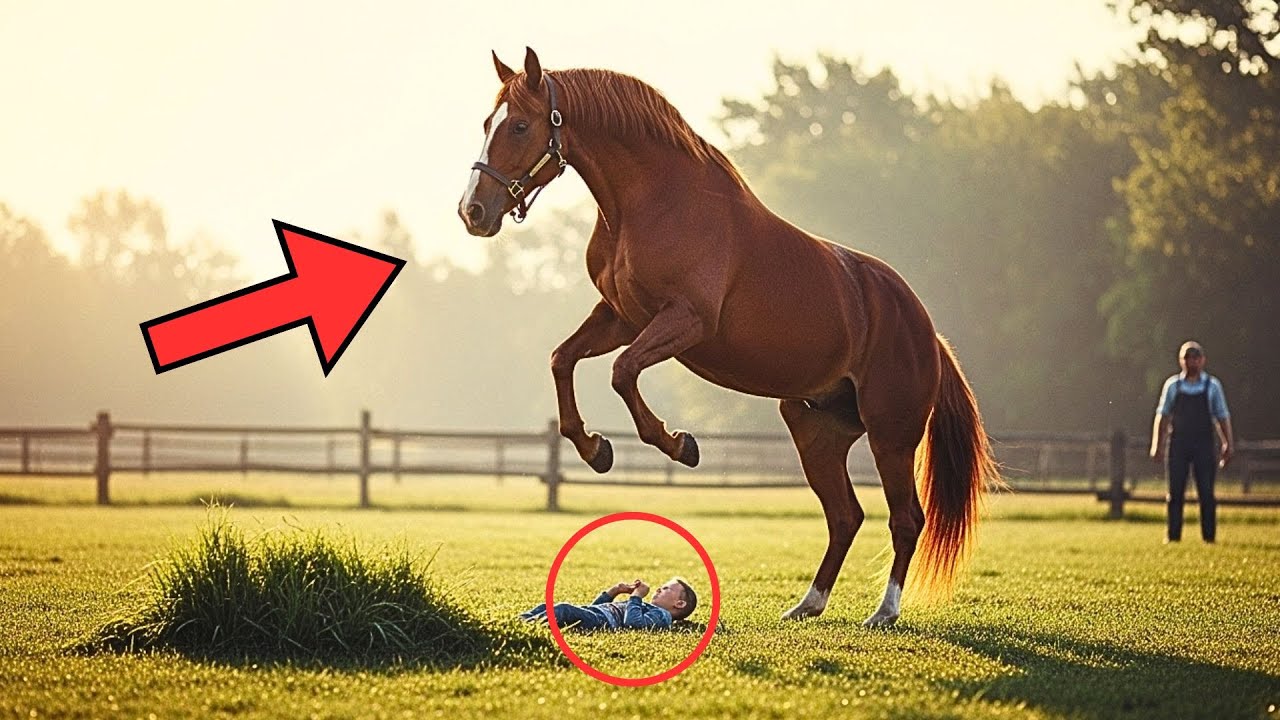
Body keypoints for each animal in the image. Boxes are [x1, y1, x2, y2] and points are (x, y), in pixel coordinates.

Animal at [457, 48, 1000, 627]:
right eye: (487, 123)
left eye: (519, 125)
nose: (473, 212)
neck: (657, 203)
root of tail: (927, 333)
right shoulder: (621, 317)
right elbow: (563, 360)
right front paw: (595, 449)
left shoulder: (685, 320)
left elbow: (623, 372)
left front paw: (679, 444)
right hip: (815, 429)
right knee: (845, 515)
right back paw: (807, 604)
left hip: (890, 434)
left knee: (904, 518)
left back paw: (884, 612)